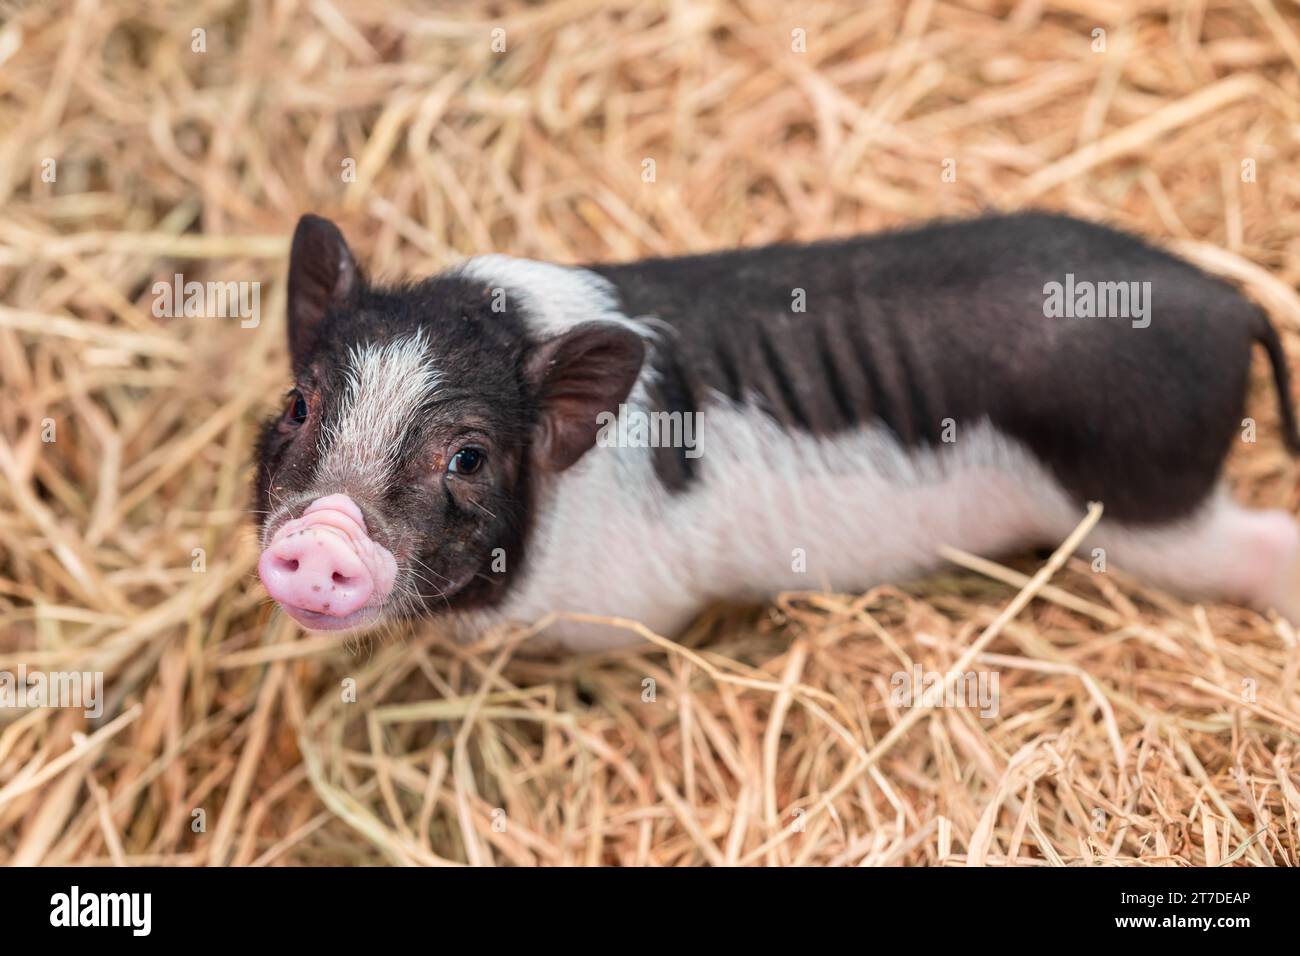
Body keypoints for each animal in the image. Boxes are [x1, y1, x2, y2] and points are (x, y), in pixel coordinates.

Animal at [254, 212, 1300, 650]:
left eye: (467, 455)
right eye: (300, 404)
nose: (324, 536)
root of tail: (1231, 303)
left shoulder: (624, 610)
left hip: (1147, 505)